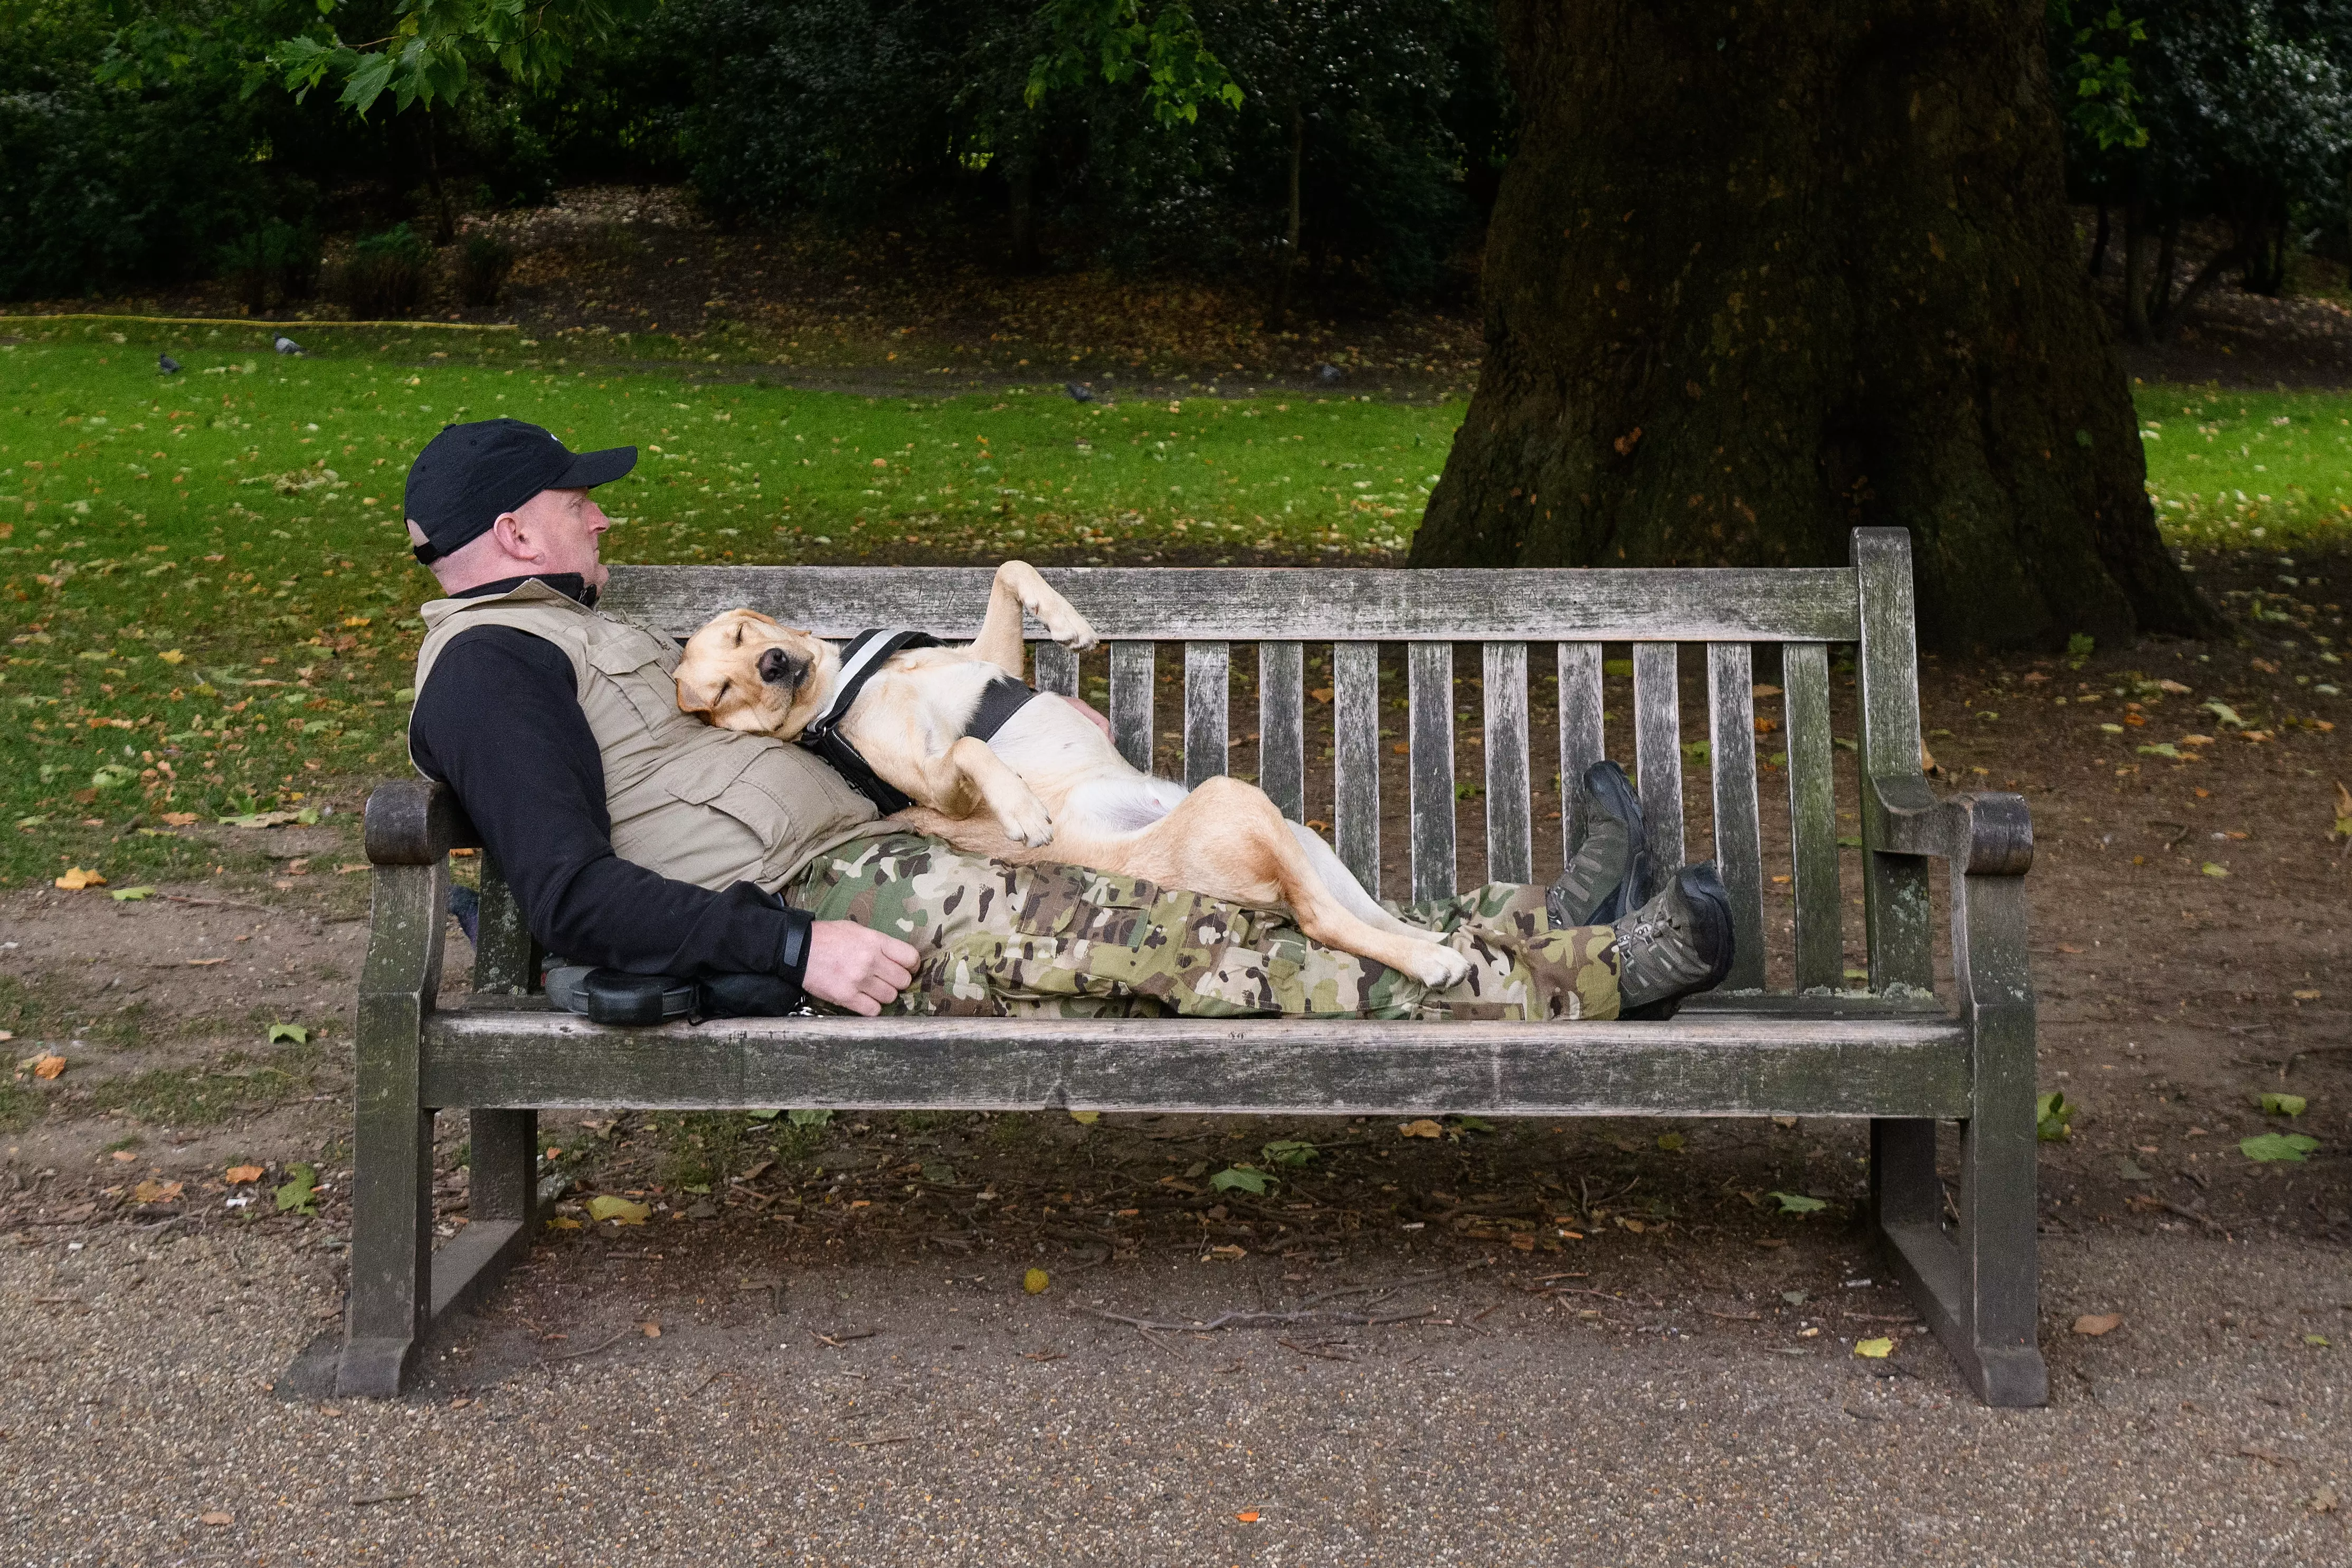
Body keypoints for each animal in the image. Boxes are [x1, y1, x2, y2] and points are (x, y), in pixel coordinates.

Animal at [668, 557, 1467, 987]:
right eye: (722, 692)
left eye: (742, 633)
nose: (774, 665)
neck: (852, 682)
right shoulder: (936, 787)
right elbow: (971, 750)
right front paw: (1023, 810)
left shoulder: (986, 659)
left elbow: (1009, 572)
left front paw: (1069, 621)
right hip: (1236, 803)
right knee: (1320, 920)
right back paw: (1430, 962)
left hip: (1301, 835)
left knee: (1357, 910)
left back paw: (1432, 938)